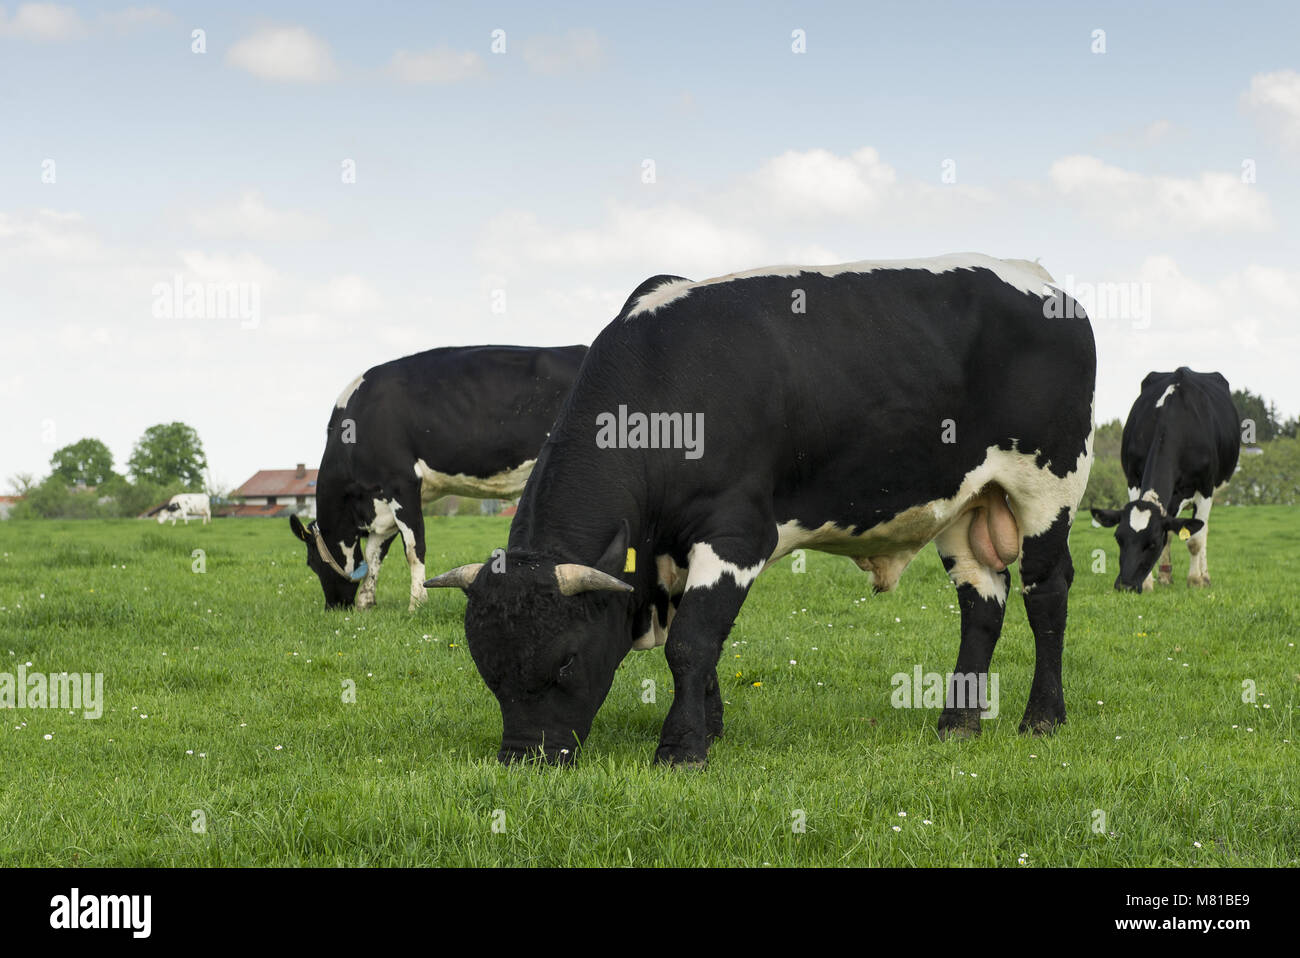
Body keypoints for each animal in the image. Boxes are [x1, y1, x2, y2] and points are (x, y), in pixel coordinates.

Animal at [290, 344, 588, 611]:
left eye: (311, 563)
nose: (334, 607)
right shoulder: (381, 499)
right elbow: (375, 552)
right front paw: (367, 602)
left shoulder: (401, 483)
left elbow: (413, 548)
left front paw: (416, 604)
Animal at [426, 253, 1096, 766]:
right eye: (488, 670)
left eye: (565, 663)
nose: (522, 757)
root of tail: (1045, 281)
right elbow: (701, 646)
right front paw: (711, 727)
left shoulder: (736, 532)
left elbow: (691, 642)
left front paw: (682, 748)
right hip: (963, 505)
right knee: (983, 602)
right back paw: (958, 723)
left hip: (1049, 487)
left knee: (1046, 593)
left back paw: (1042, 718)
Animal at [1090, 368, 1239, 592]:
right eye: (1119, 538)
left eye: (1152, 543)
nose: (1125, 586)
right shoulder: (1133, 481)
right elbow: (1170, 533)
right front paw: (1150, 582)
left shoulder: (1205, 489)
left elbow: (1195, 540)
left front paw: (1195, 581)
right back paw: (1165, 576)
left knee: (1203, 531)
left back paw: (1204, 576)